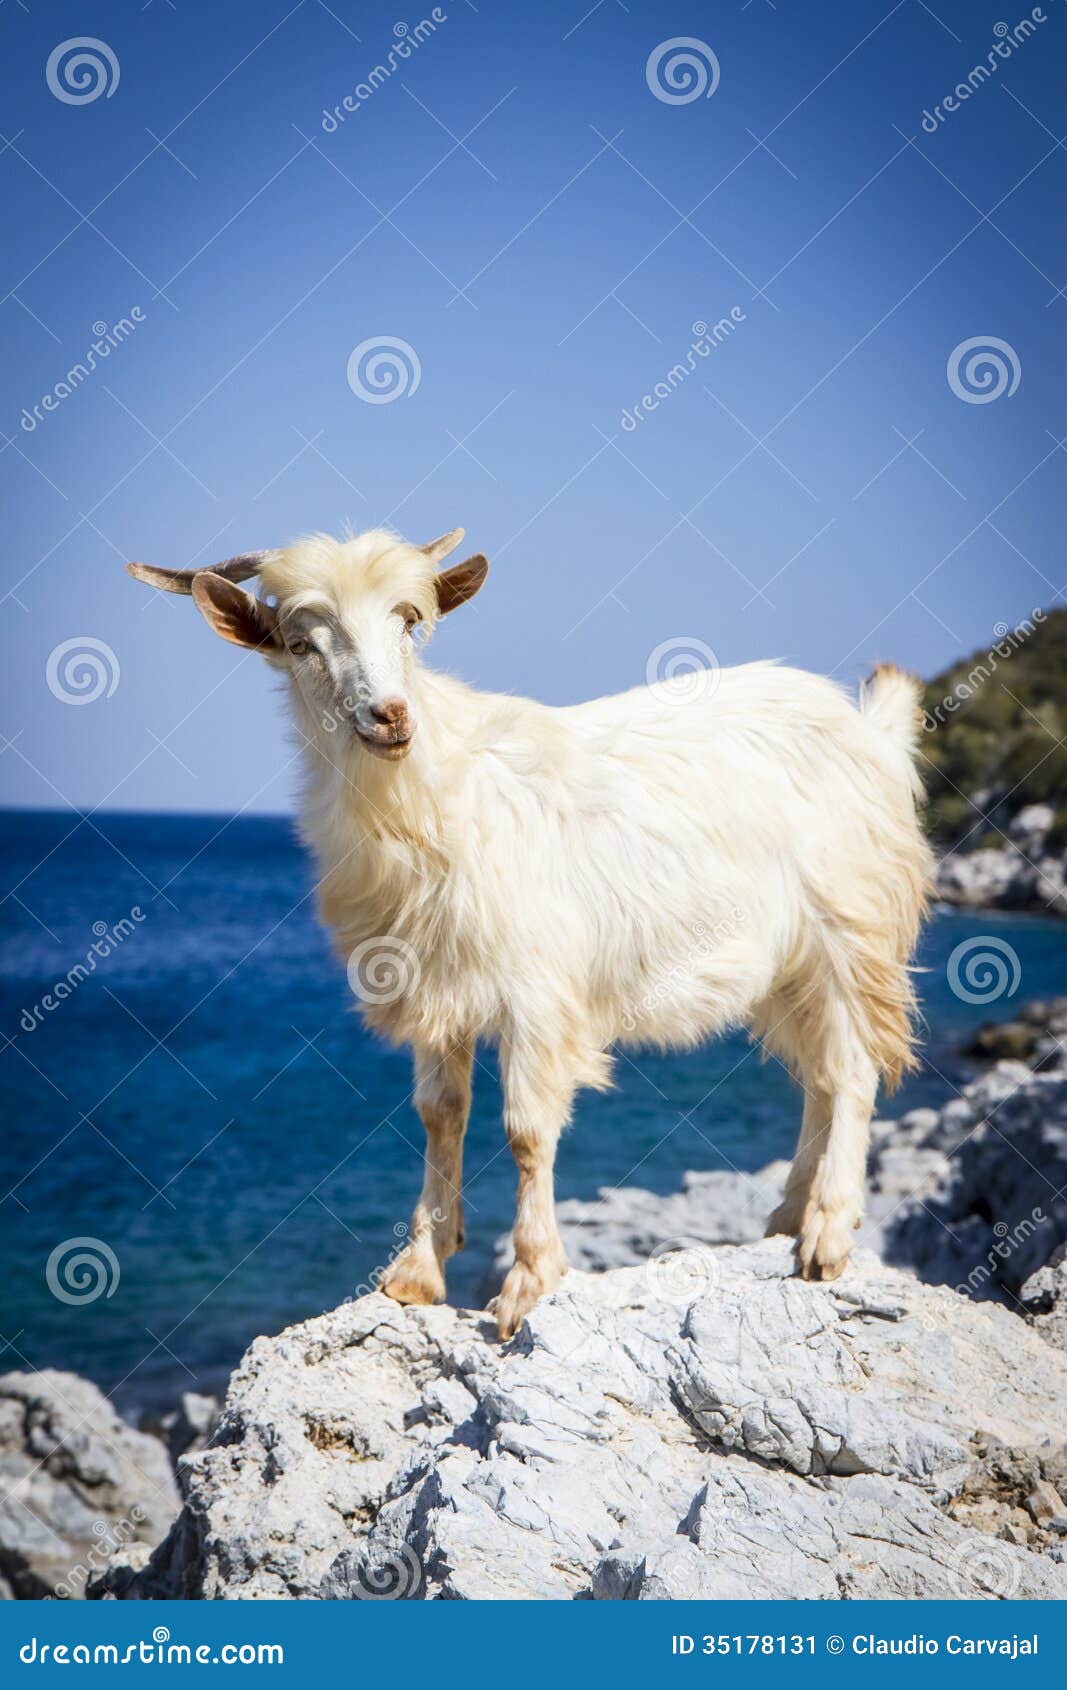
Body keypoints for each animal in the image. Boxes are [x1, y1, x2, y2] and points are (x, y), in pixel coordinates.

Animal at [128, 527, 932, 1338]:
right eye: (300, 644)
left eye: (409, 625)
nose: (390, 716)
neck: (428, 799)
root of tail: (868, 729)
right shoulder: (435, 987)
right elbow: (439, 1115)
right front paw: (417, 1270)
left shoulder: (538, 993)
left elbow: (526, 1129)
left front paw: (527, 1282)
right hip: (787, 969)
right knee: (820, 1077)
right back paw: (788, 1216)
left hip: (849, 929)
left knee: (853, 1070)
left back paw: (826, 1235)